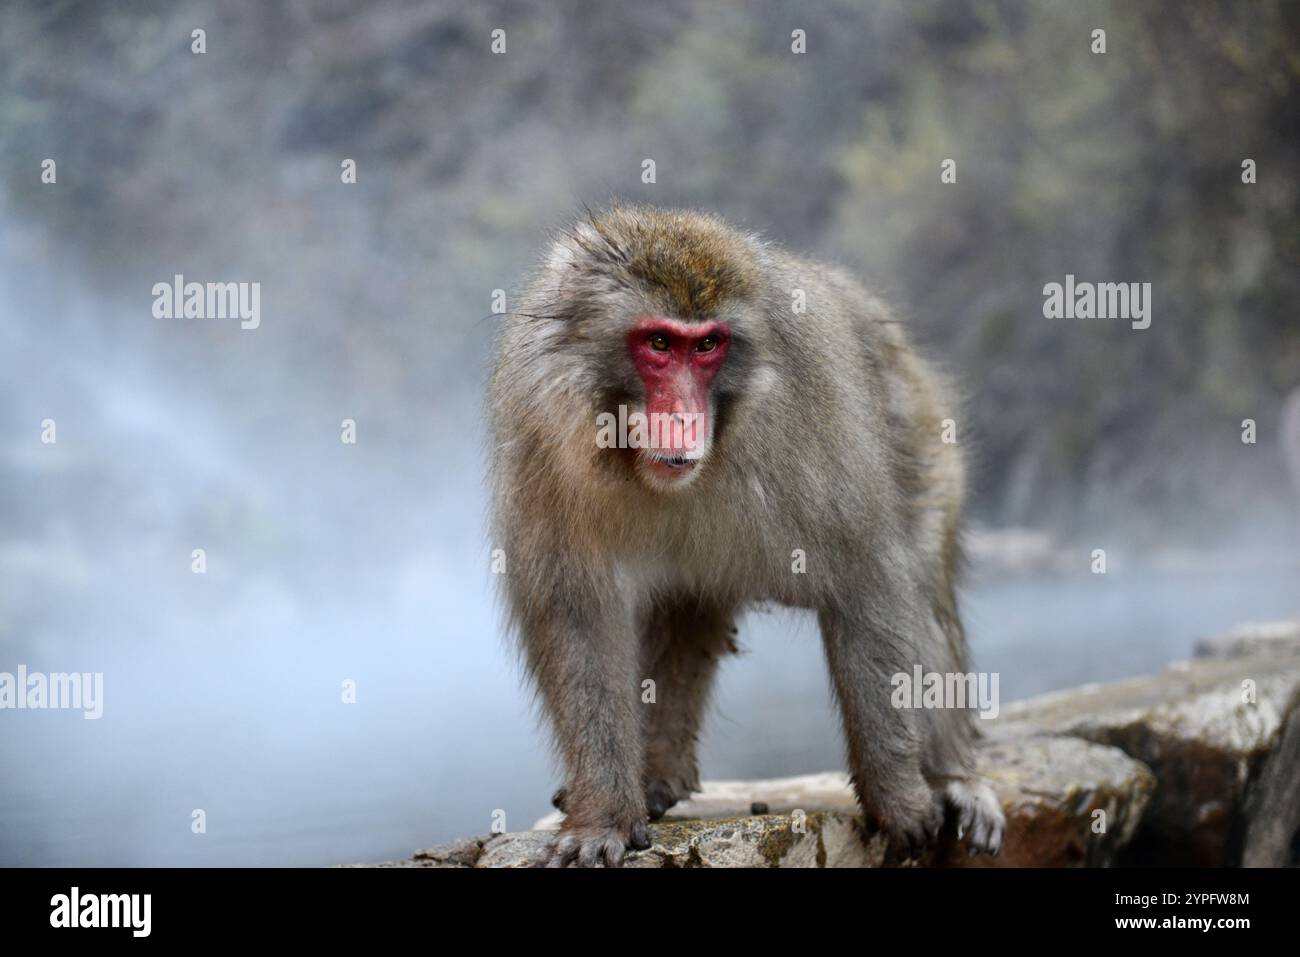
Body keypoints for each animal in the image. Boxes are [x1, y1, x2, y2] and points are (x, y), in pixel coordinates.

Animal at [488, 205, 1005, 867]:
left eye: (708, 345)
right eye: (660, 343)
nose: (684, 418)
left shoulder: (813, 429)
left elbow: (868, 578)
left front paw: (900, 798)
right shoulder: (541, 441)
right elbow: (576, 617)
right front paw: (603, 814)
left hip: (921, 432)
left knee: (919, 577)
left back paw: (954, 777)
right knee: (685, 610)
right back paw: (656, 777)